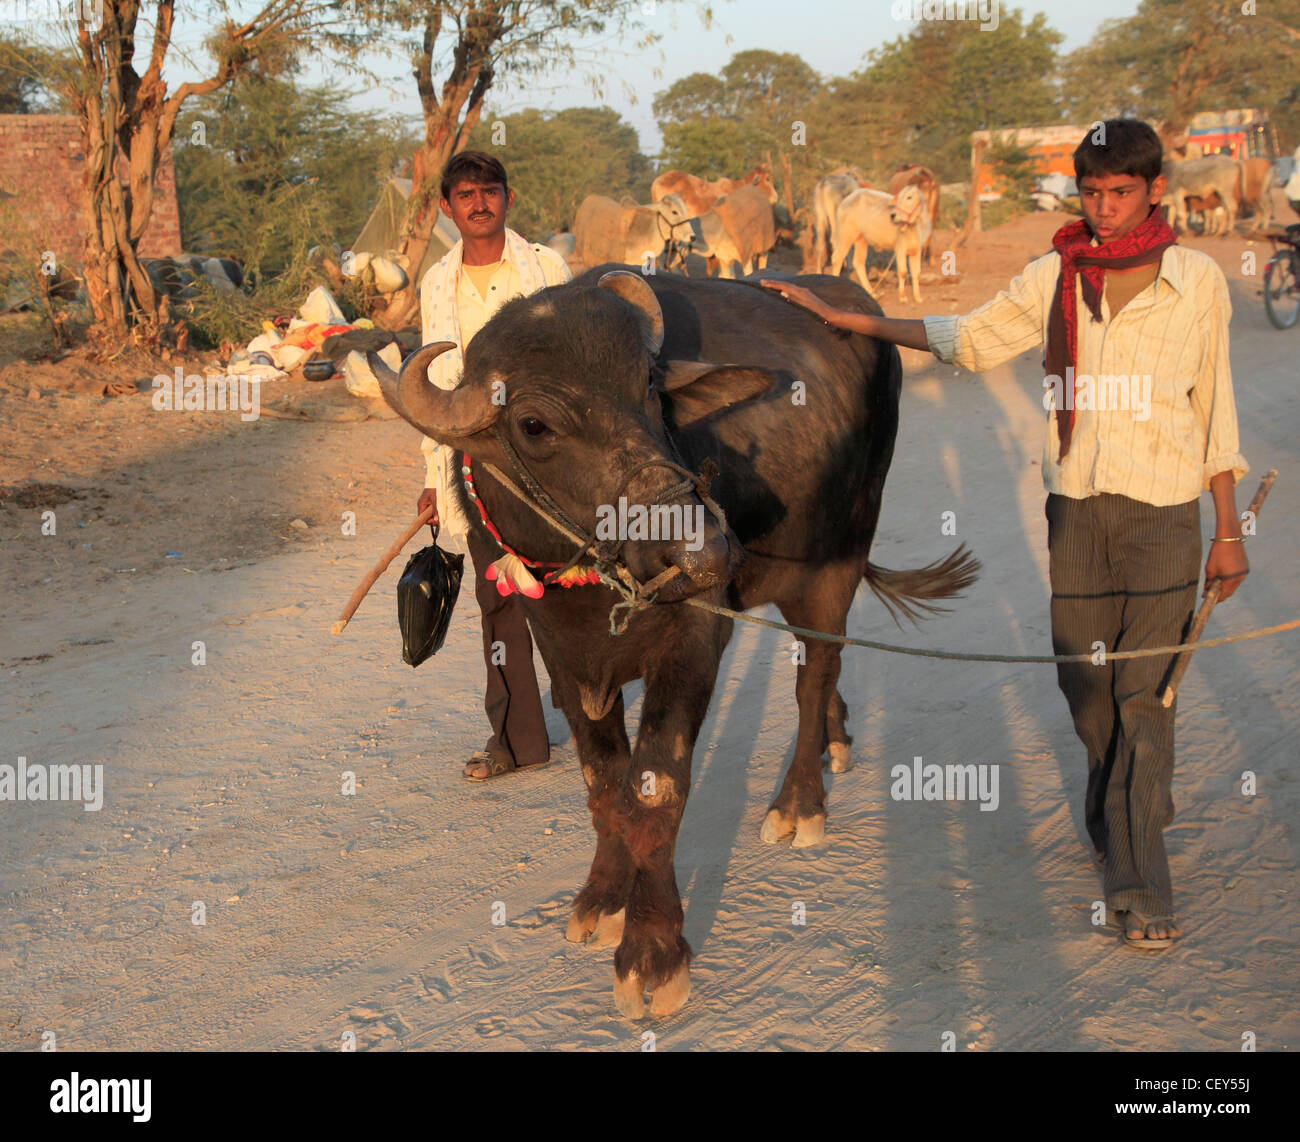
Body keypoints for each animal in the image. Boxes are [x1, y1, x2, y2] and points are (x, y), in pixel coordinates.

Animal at [369, 267, 977, 1018]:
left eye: (652, 392)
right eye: (534, 425)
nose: (704, 549)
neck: (594, 585)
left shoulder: (696, 636)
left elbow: (655, 786)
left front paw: (653, 952)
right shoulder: (560, 655)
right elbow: (604, 783)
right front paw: (602, 900)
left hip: (840, 553)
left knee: (815, 671)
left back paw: (799, 802)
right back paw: (836, 740)